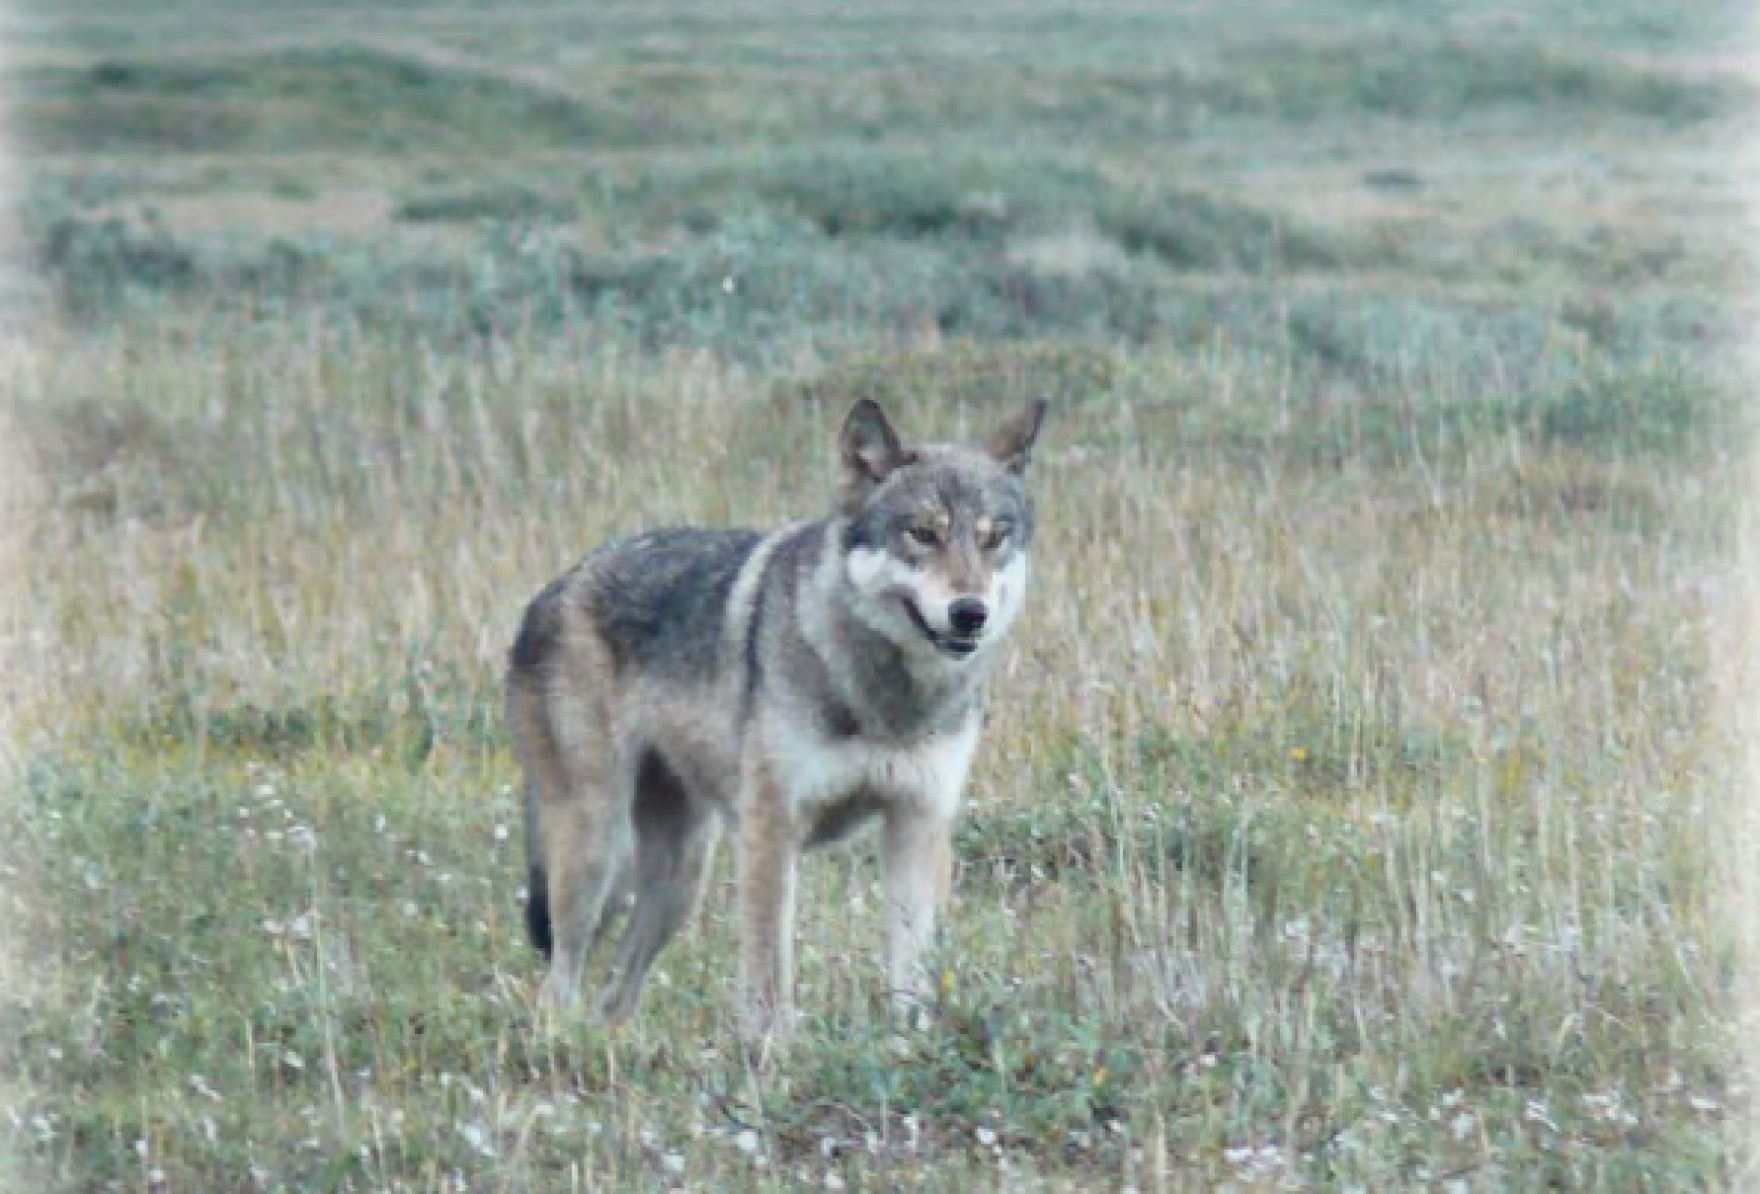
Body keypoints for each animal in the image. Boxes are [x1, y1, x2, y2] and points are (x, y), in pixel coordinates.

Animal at [506, 397, 1048, 1042]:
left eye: (994, 539)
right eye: (922, 533)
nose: (970, 613)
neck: (884, 701)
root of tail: (550, 590)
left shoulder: (917, 825)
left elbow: (909, 975)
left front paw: (903, 1048)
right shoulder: (772, 829)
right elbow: (769, 982)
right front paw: (775, 1058)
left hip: (678, 884)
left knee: (613, 996)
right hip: (598, 858)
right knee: (558, 984)